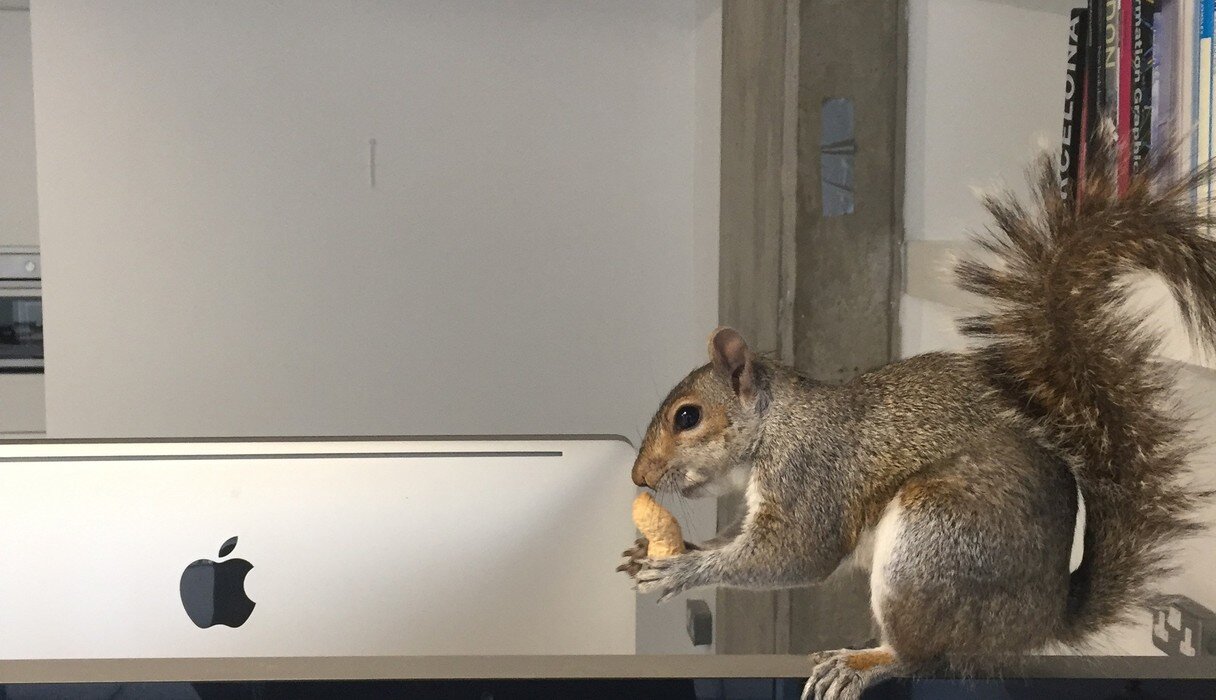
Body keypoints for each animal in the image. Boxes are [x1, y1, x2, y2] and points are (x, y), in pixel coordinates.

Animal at [618, 125, 1216, 700]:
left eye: (688, 417)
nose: (638, 476)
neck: (776, 423)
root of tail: (1038, 622)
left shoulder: (811, 475)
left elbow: (796, 553)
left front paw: (681, 570)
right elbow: (735, 539)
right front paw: (658, 552)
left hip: (936, 538)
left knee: (923, 656)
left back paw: (862, 663)